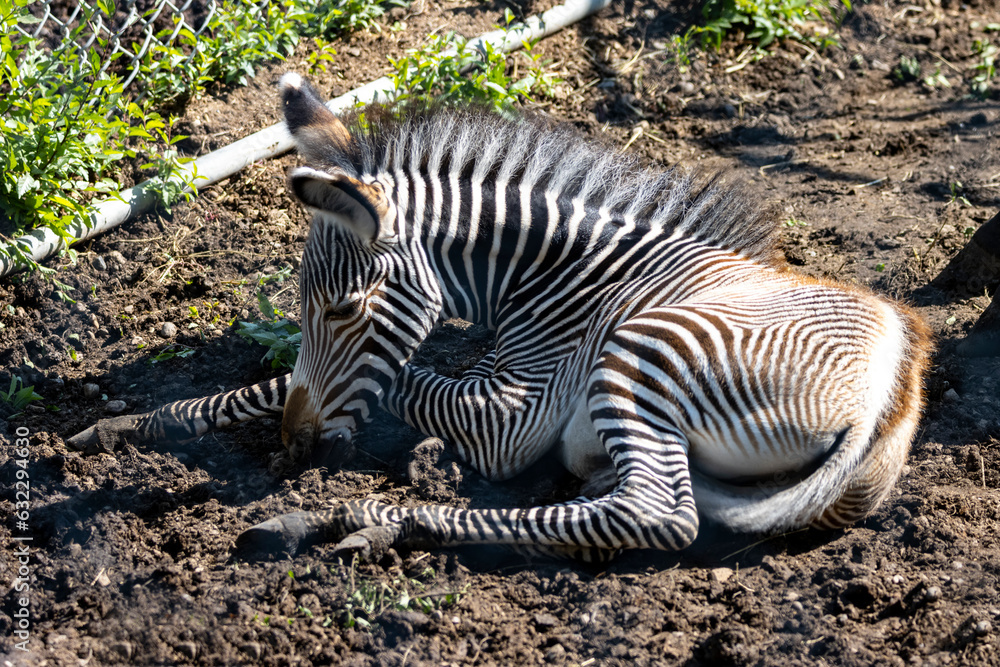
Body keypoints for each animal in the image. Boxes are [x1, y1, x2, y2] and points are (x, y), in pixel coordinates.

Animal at [69, 72, 931, 560]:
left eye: (342, 307)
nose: (294, 449)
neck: (554, 273)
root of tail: (896, 379)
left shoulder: (511, 418)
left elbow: (399, 380)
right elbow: (283, 378)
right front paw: (127, 424)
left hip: (644, 355)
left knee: (653, 515)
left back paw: (338, 515)